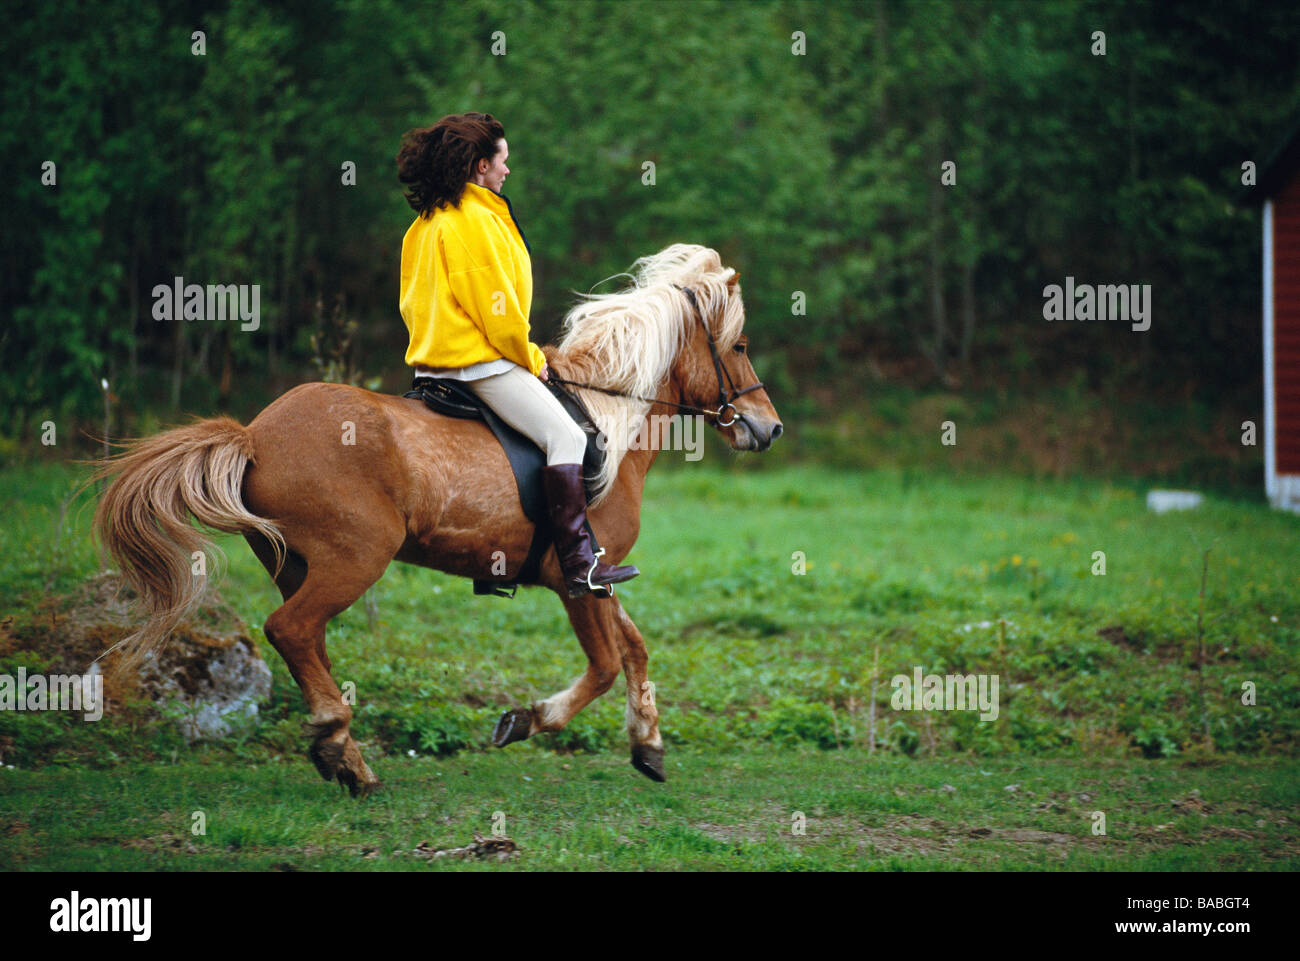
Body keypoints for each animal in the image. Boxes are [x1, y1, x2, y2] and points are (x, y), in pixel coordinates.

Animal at [93, 243, 783, 796]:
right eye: (741, 346)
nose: (769, 428)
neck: (608, 421)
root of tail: (254, 434)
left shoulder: (602, 578)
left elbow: (635, 648)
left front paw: (648, 745)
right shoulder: (576, 579)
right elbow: (606, 664)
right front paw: (526, 720)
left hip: (297, 565)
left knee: (308, 641)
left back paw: (348, 759)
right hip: (356, 558)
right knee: (290, 630)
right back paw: (336, 742)